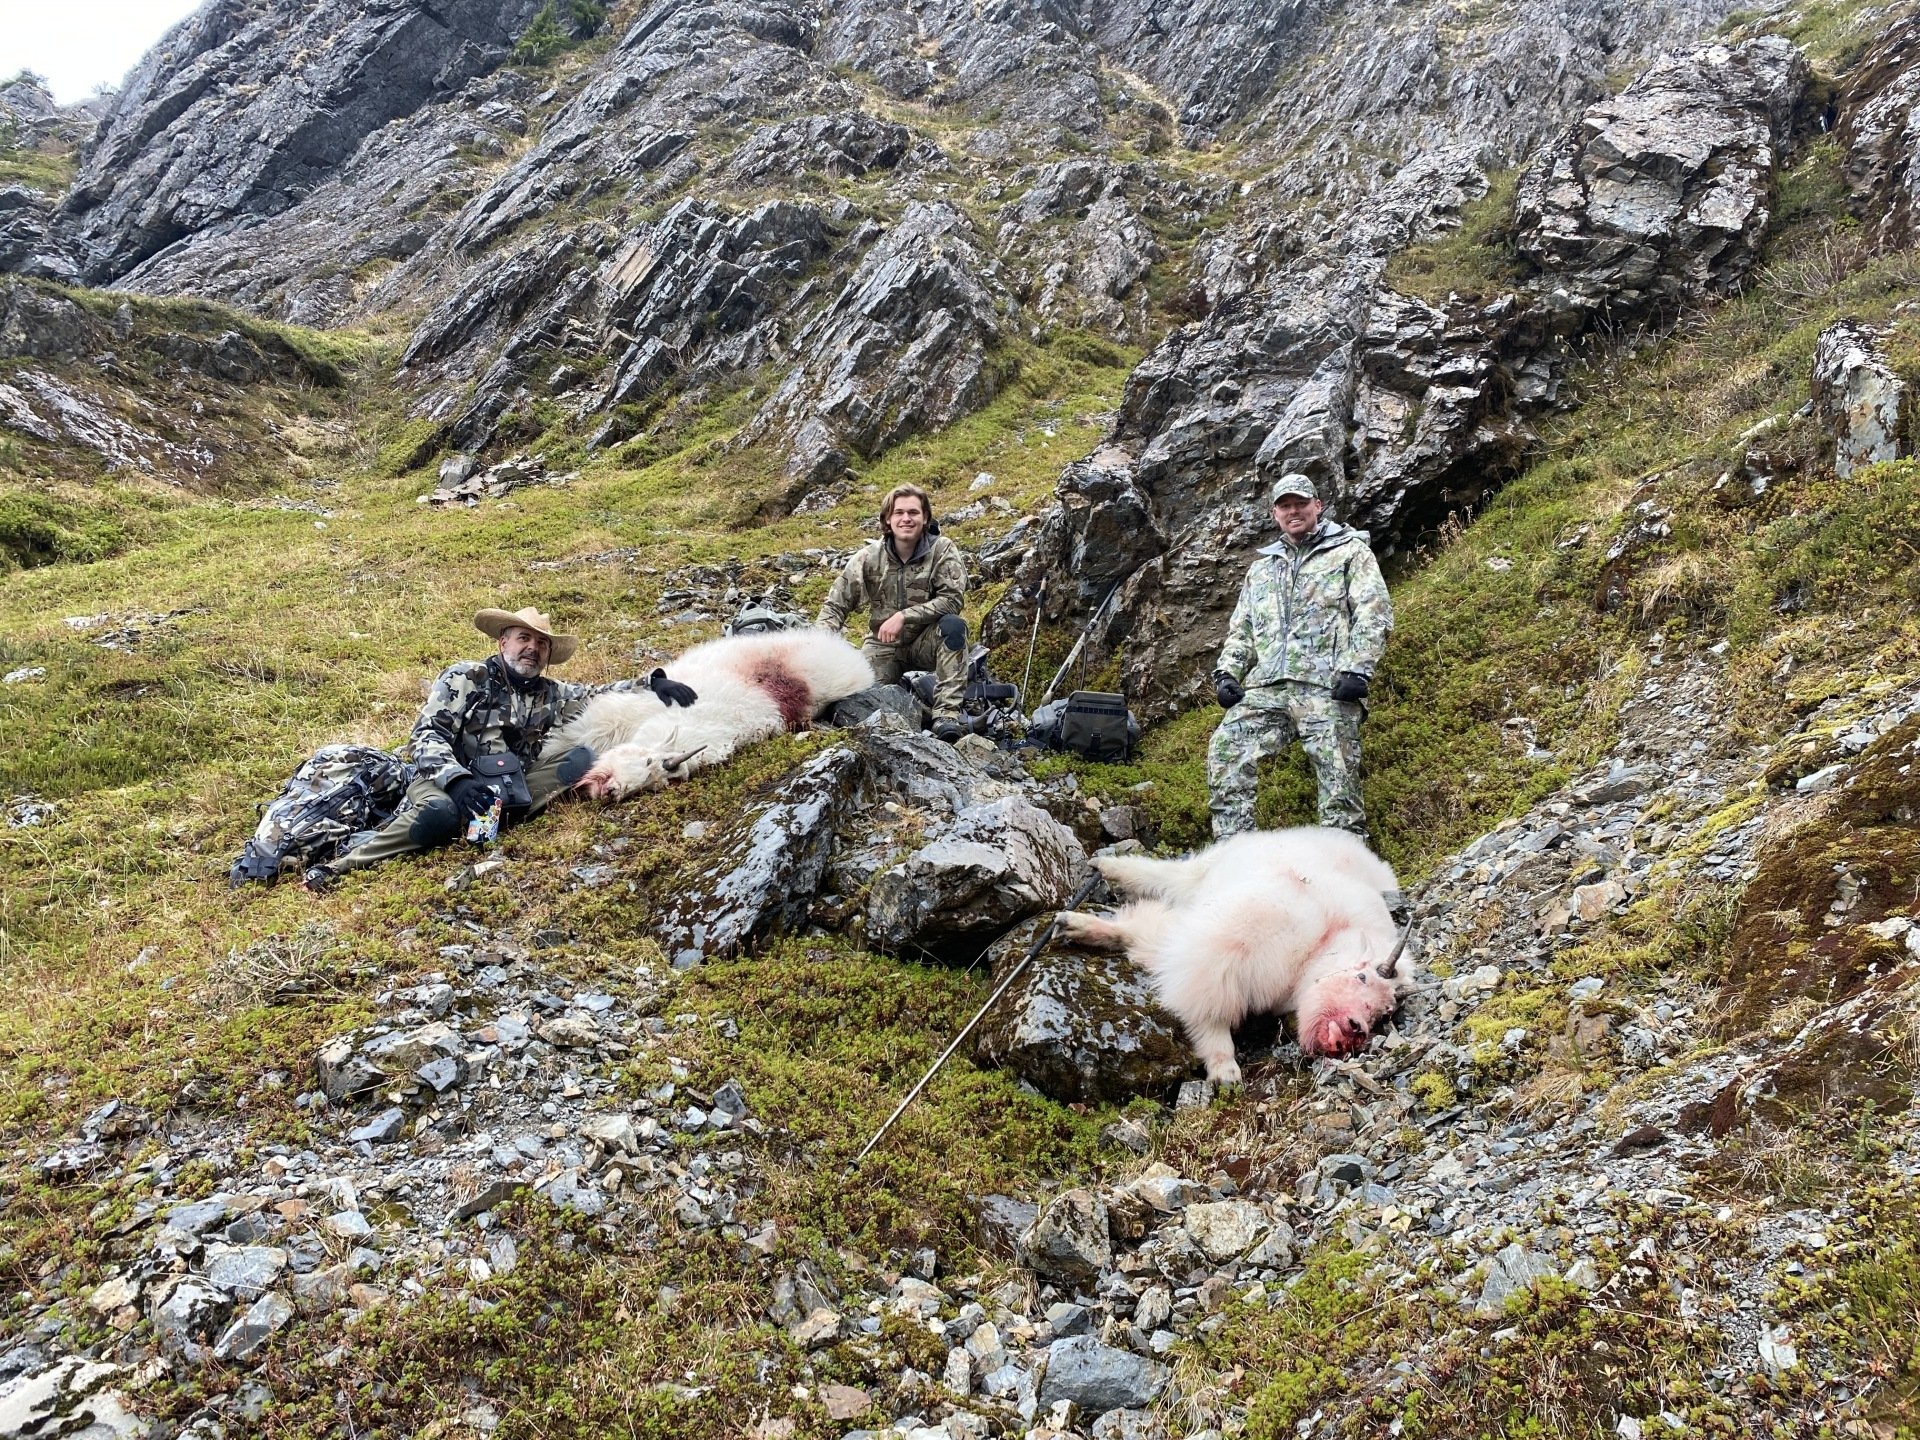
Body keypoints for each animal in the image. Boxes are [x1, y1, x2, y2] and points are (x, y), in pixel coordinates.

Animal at [1053, 827, 1410, 1083]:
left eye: (1384, 1013)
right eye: (1361, 976)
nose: (1354, 1029)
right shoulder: (1240, 934)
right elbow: (1207, 996)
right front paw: (1224, 1068)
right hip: (1207, 868)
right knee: (1167, 876)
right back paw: (1104, 869)